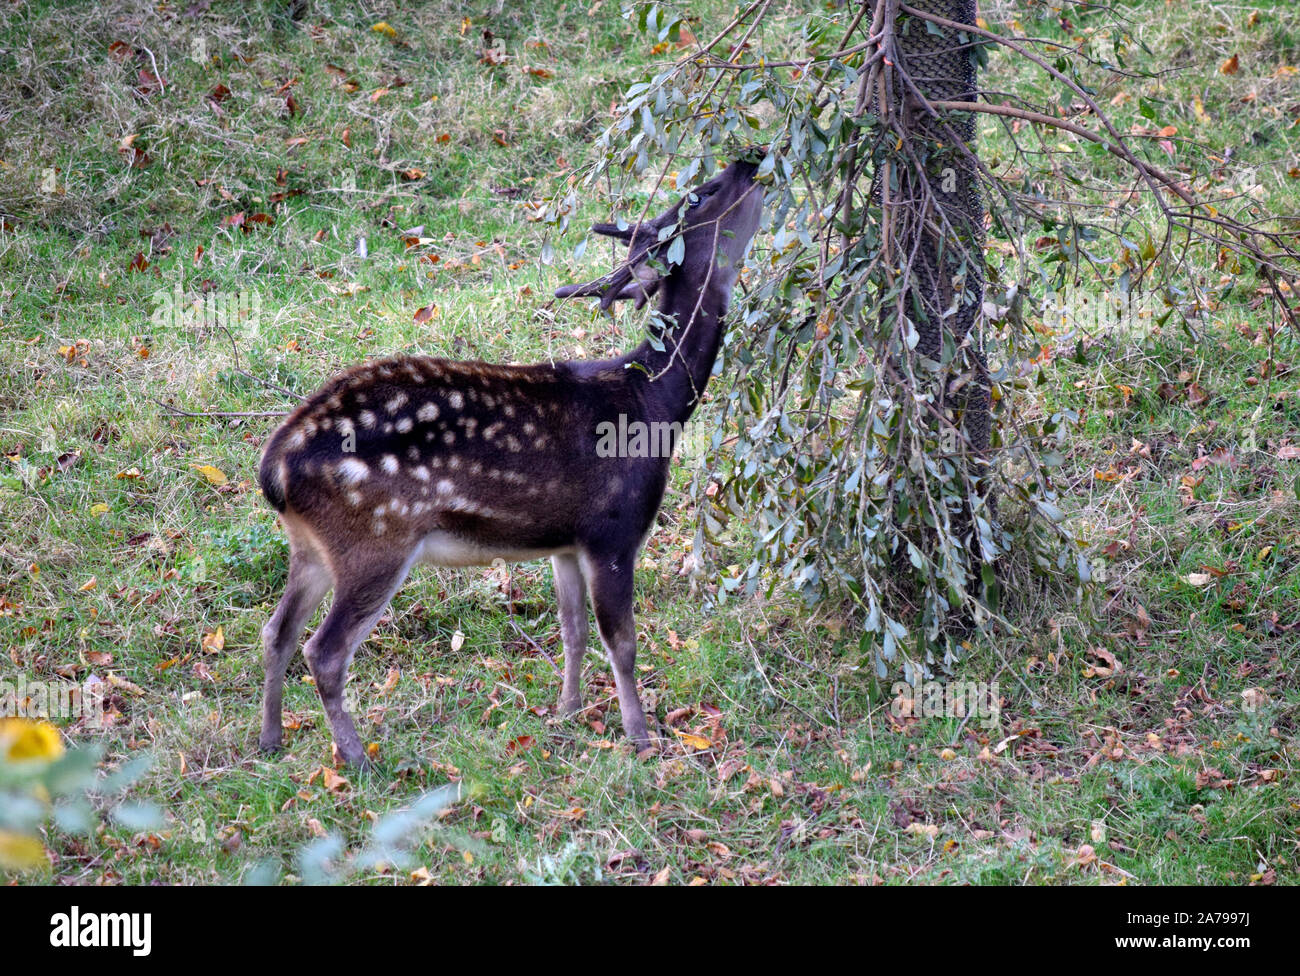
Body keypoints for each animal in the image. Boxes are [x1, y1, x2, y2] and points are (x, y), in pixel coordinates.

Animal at [256, 156, 764, 766]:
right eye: (705, 193)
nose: (752, 160)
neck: (654, 407)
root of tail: (275, 468)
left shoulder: (566, 542)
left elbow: (572, 630)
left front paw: (567, 713)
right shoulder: (613, 530)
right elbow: (622, 641)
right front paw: (641, 739)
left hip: (310, 546)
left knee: (277, 632)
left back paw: (270, 740)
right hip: (374, 540)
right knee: (324, 650)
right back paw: (357, 759)